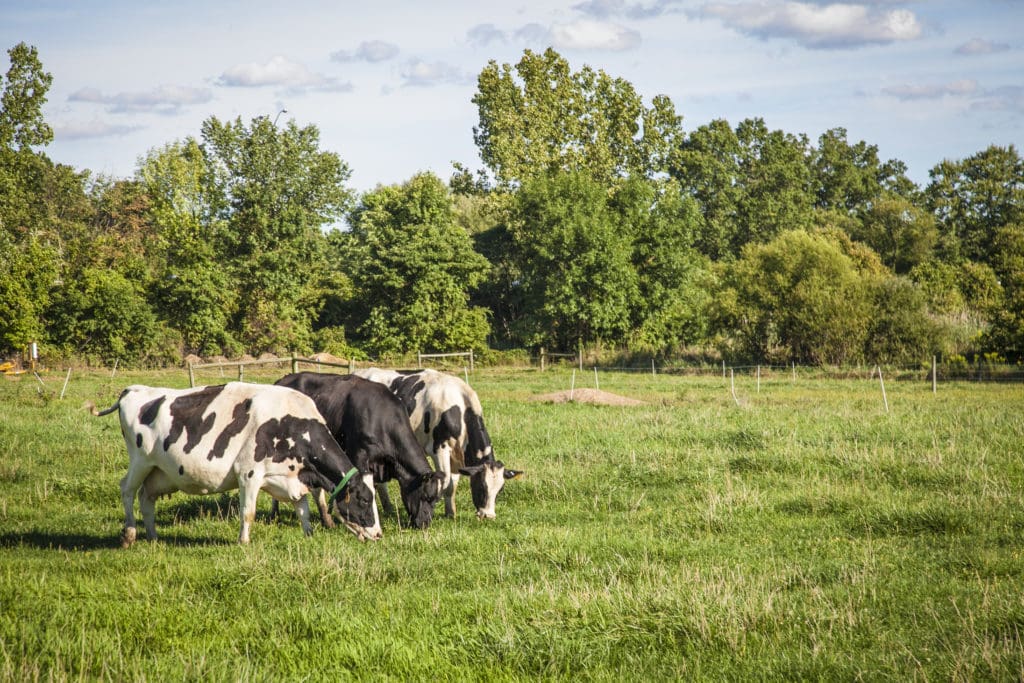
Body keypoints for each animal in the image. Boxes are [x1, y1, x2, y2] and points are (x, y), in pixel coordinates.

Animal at [92, 382, 382, 546]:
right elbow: (248, 512)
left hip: (161, 473)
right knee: (127, 490)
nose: (379, 534)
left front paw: (309, 535)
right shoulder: (248, 474)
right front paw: (244, 542)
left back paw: (153, 537)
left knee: (146, 497)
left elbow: (303, 509)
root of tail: (134, 389)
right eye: (365, 500)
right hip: (140, 461)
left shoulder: (290, 478)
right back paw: (130, 535)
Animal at [273, 372, 446, 529]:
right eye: (426, 496)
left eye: (436, 500)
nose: (425, 524)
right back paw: (275, 515)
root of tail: (282, 379)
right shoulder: (359, 457)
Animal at [353, 367, 522, 519]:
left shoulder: (456, 457)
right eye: (481, 486)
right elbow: (446, 482)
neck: (459, 410)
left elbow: (453, 485)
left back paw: (388, 508)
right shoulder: (439, 449)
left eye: (500, 490)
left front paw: (451, 513)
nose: (488, 516)